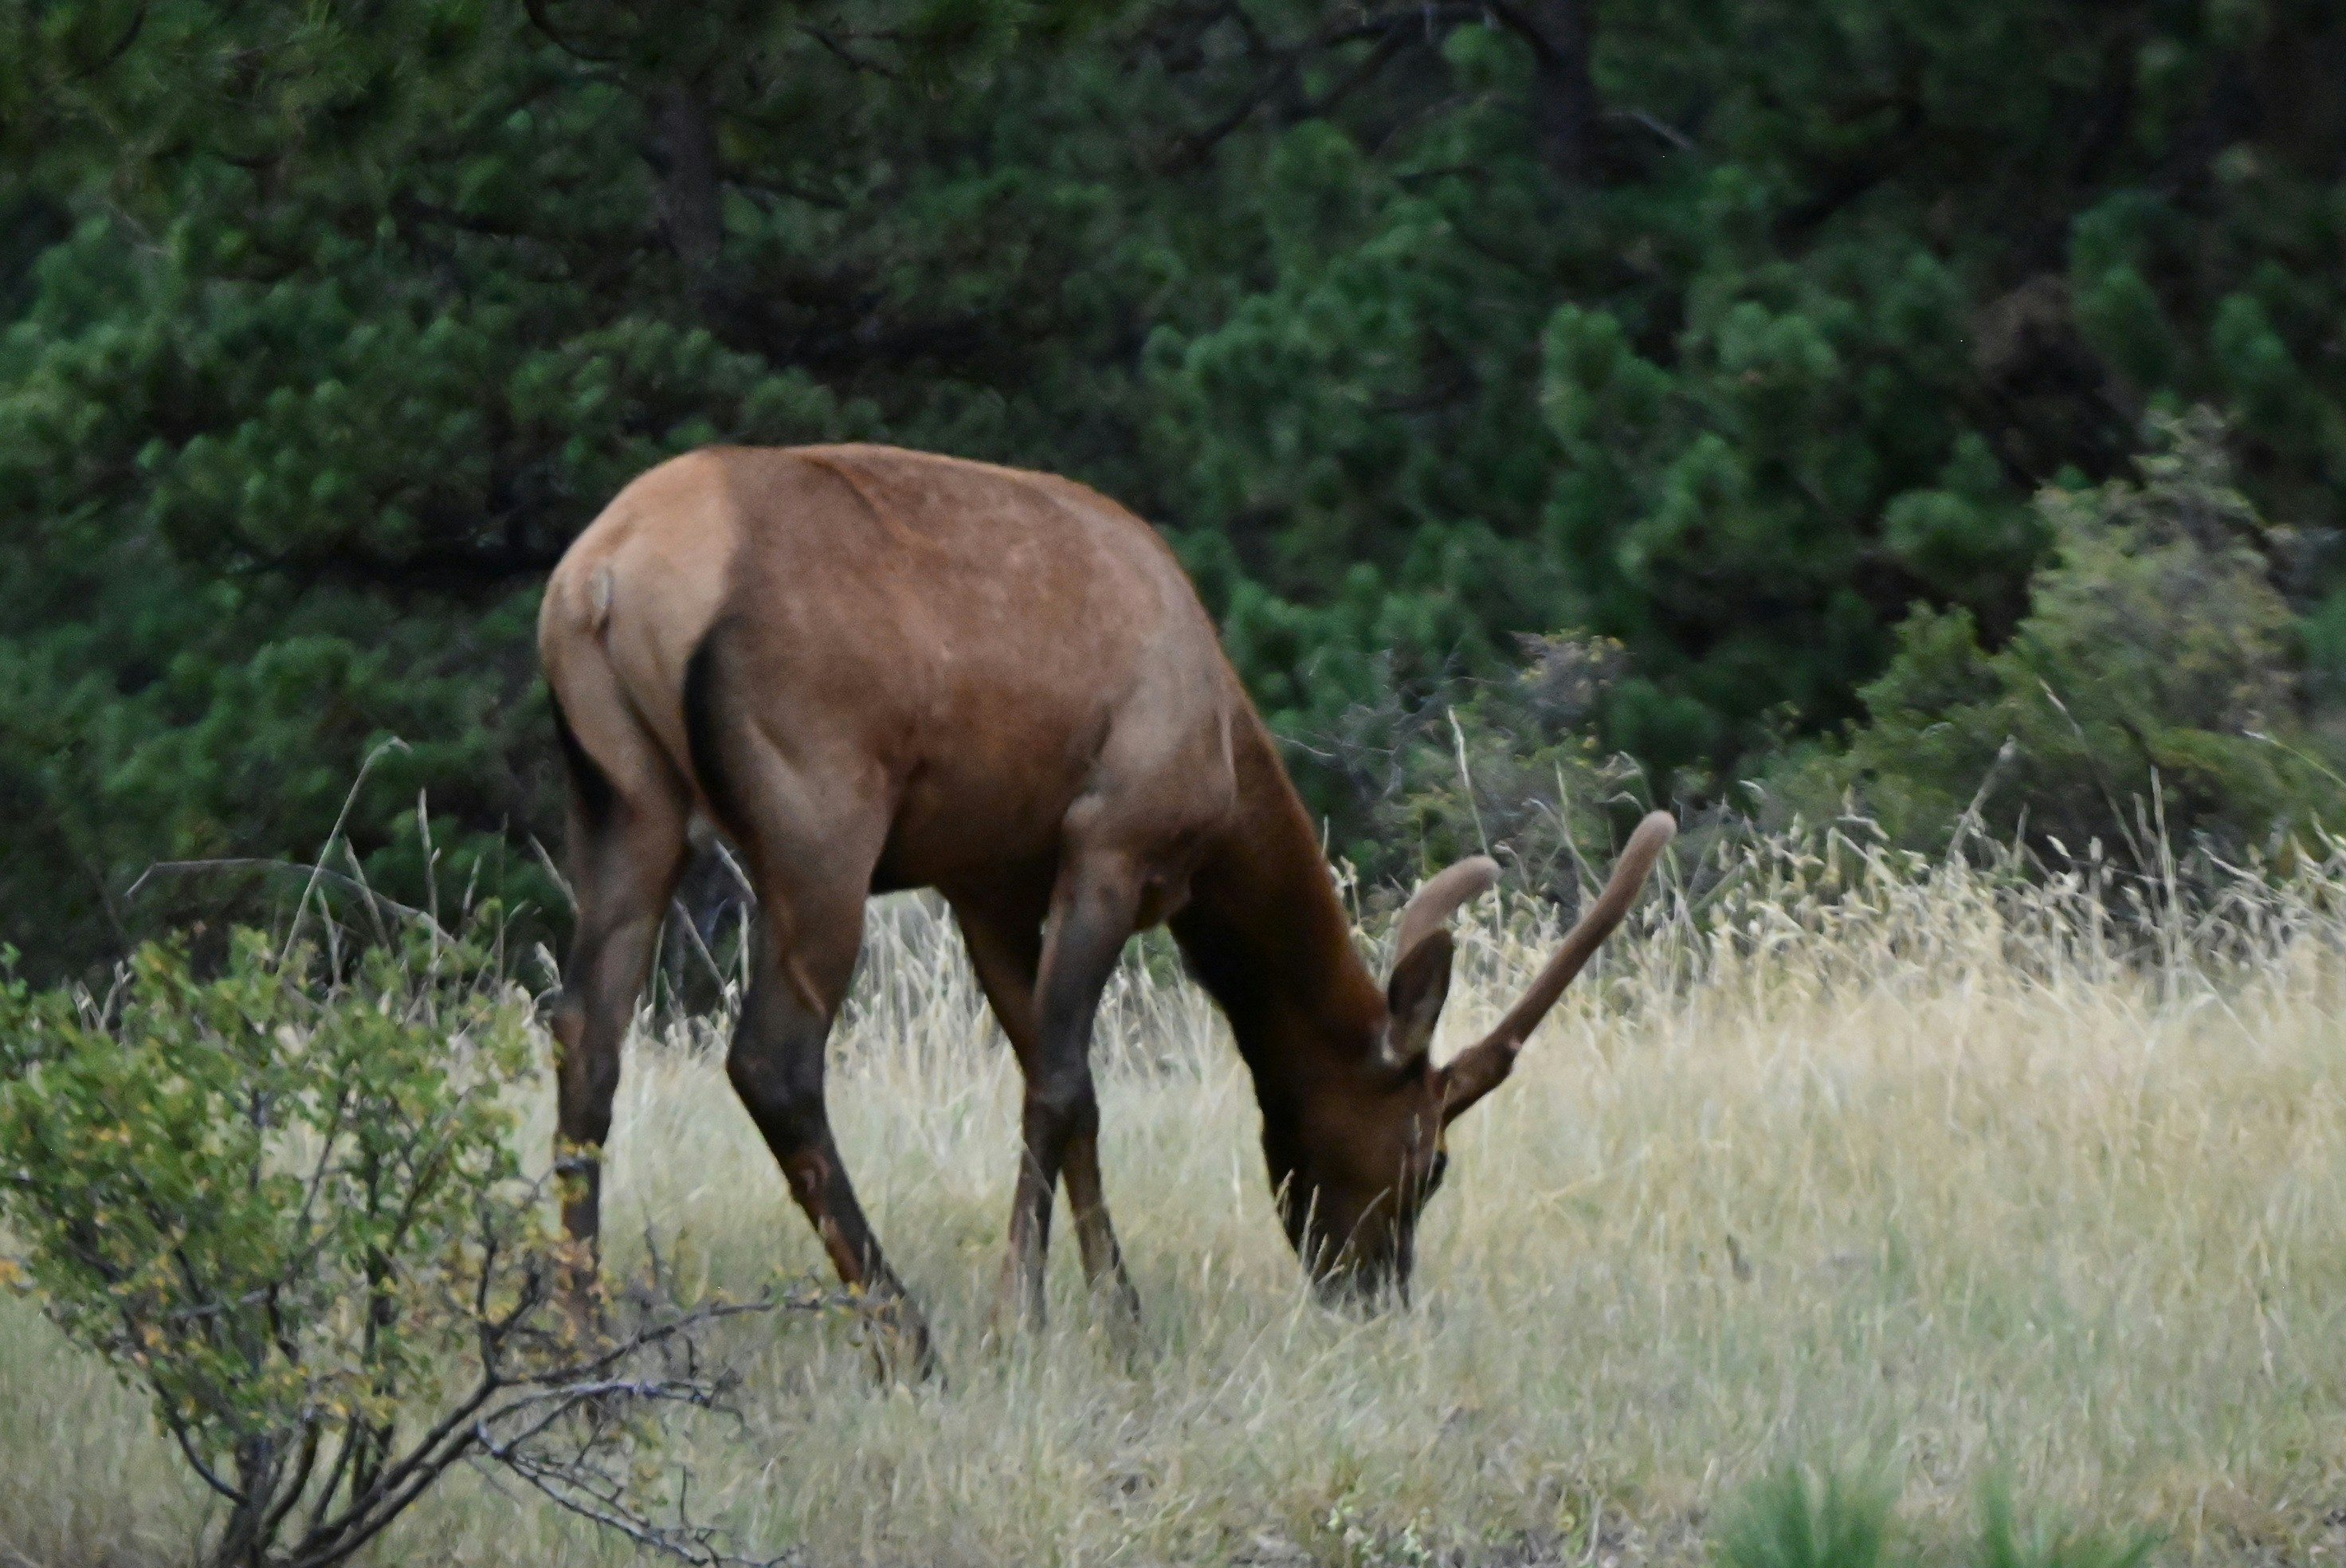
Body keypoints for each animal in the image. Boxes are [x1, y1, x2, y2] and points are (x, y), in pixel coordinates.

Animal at [538, 443, 1674, 1375]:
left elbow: (1064, 1083)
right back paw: (909, 1339)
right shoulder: (1110, 843)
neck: (1224, 759)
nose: (1374, 1292)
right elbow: (1059, 1084)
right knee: (771, 1061)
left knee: (586, 1040)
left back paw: (582, 1356)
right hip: (819, 816)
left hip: (622, 805)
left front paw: (1111, 1319)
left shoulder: (984, 880)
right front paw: (1032, 1320)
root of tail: (598, 582)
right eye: (1429, 1159)